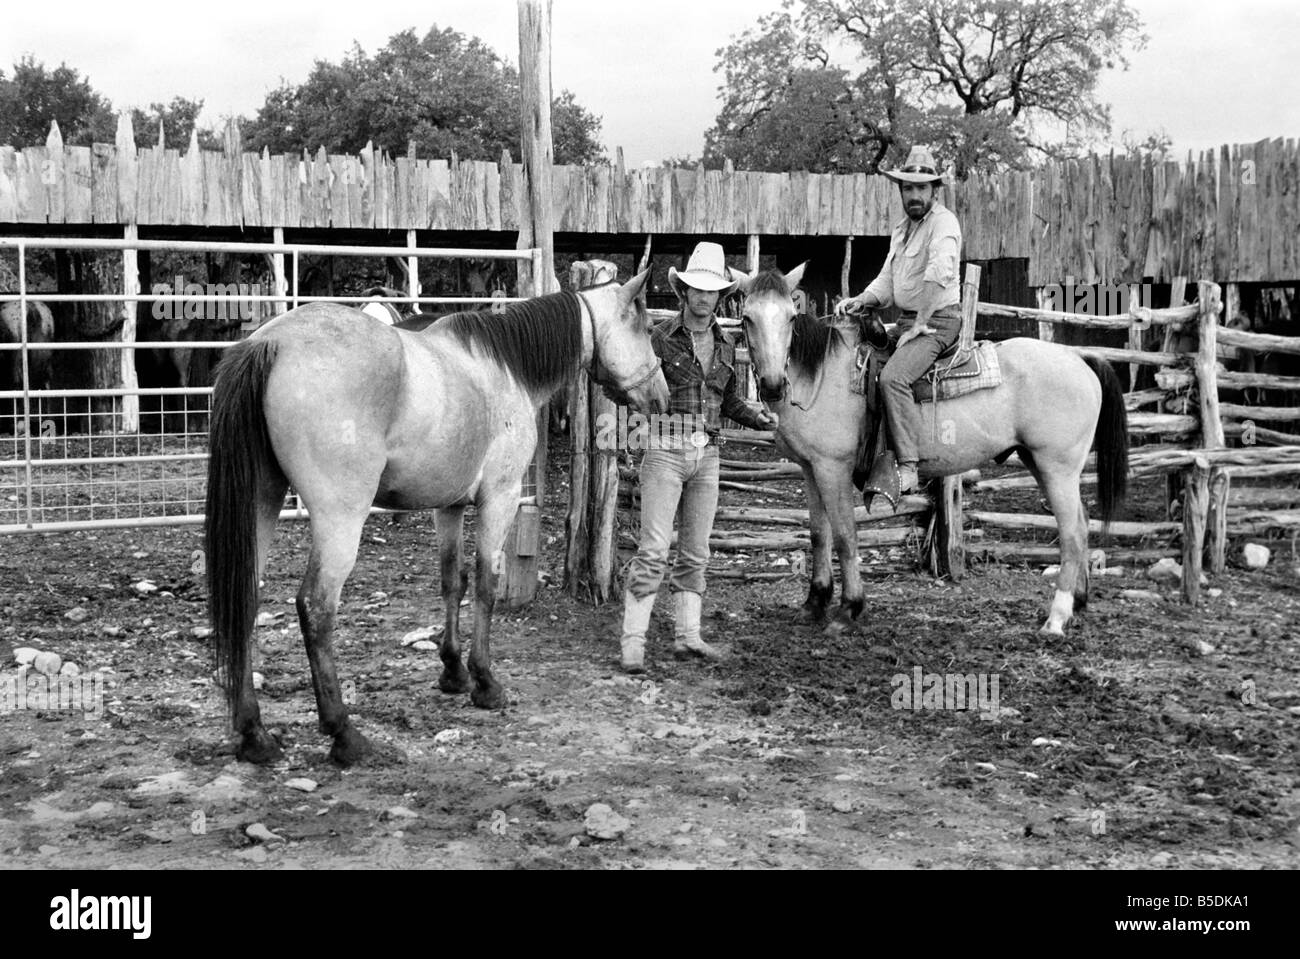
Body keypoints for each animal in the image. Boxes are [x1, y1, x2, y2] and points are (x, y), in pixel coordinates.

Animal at [205, 271, 668, 766]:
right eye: (645, 328)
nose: (661, 397)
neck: (505, 368)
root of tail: (269, 343)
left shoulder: (449, 506)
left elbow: (453, 582)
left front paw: (453, 672)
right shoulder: (499, 499)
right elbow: (485, 585)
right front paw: (485, 682)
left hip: (262, 500)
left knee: (245, 596)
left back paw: (254, 734)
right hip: (339, 519)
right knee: (316, 607)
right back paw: (344, 733)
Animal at [735, 266, 1129, 638]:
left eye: (790, 317)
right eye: (747, 318)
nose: (773, 385)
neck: (821, 377)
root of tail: (1079, 358)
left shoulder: (833, 468)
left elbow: (845, 536)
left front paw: (849, 609)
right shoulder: (809, 469)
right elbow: (819, 534)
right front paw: (814, 603)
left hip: (1057, 467)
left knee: (1072, 534)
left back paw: (1057, 617)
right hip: (1041, 464)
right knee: (1081, 523)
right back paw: (1078, 602)